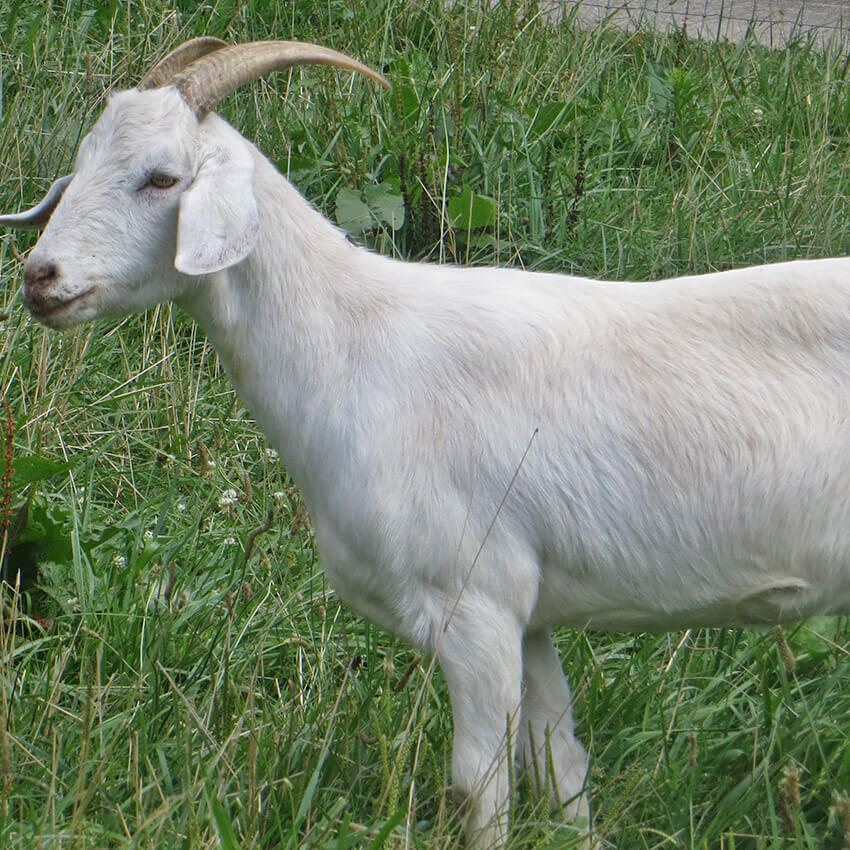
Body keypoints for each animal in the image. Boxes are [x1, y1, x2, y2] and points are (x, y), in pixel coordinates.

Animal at [3, 38, 850, 848]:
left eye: (161, 178)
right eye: (83, 161)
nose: (40, 277)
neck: (355, 346)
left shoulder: (470, 603)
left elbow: (482, 783)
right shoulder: (525, 610)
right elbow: (559, 760)